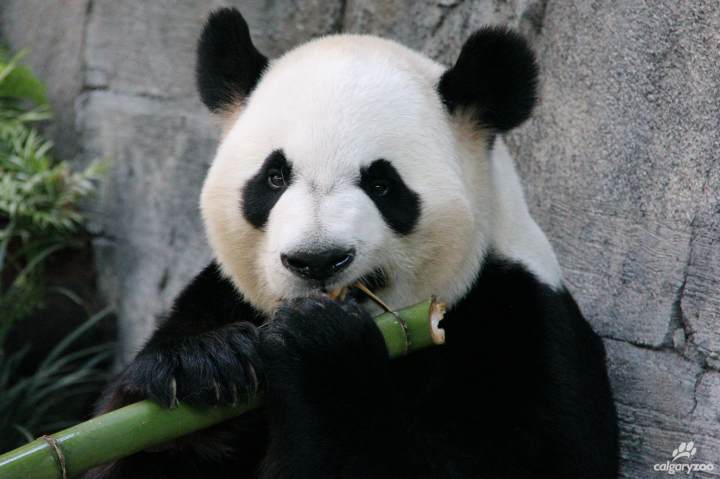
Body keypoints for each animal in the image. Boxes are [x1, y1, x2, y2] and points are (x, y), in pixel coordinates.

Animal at [89, 7, 618, 479]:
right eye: (274, 177)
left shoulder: (522, 330)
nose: (317, 260)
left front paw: (324, 353)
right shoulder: (220, 296)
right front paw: (204, 368)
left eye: (382, 185)